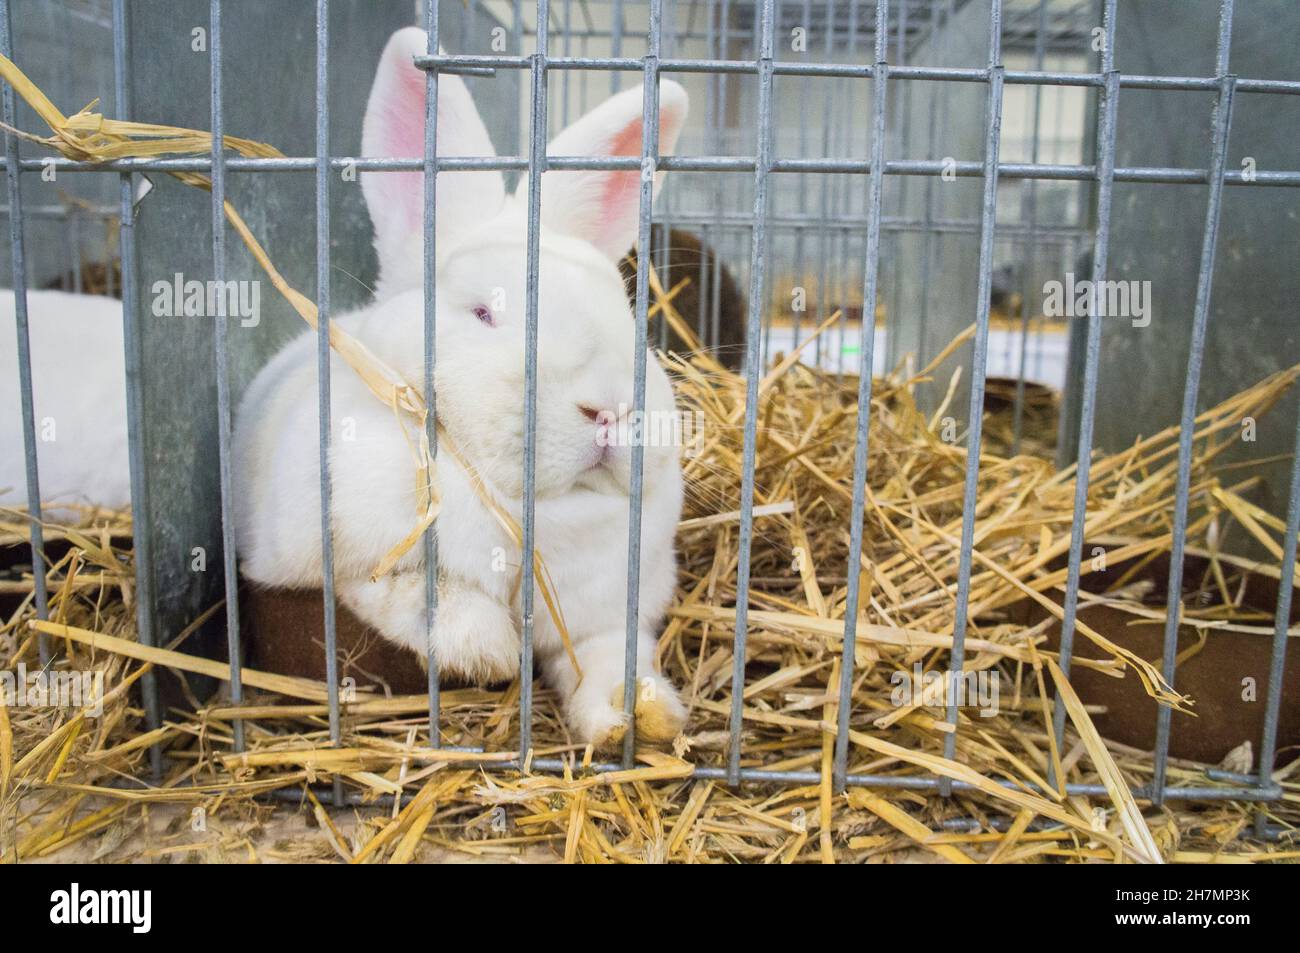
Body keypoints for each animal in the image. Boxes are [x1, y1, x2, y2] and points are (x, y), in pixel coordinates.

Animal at [233, 27, 691, 748]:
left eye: (625, 312)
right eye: (483, 313)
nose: (609, 410)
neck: (529, 505)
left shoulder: (611, 612)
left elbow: (606, 658)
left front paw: (638, 714)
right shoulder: (342, 562)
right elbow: (421, 593)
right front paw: (492, 652)